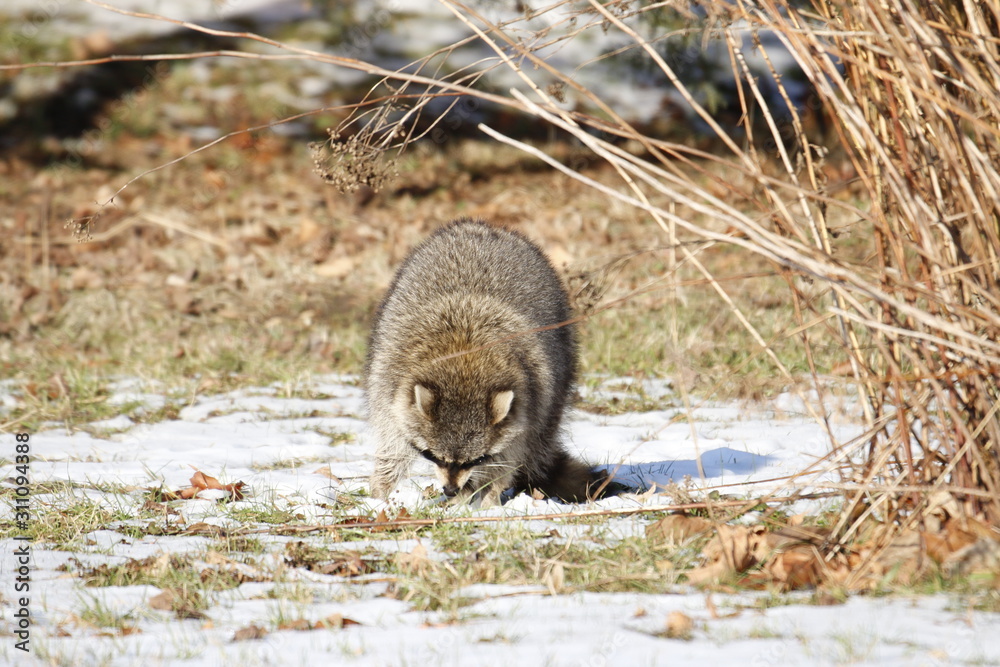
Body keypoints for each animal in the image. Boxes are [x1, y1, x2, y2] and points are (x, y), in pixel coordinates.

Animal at [365, 218, 603, 506]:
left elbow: (506, 458)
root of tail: (484, 227)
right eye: (433, 455)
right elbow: (393, 442)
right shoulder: (390, 376)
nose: (450, 490)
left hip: (560, 365)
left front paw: (486, 499)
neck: (465, 360)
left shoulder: (531, 399)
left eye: (476, 459)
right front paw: (381, 489)